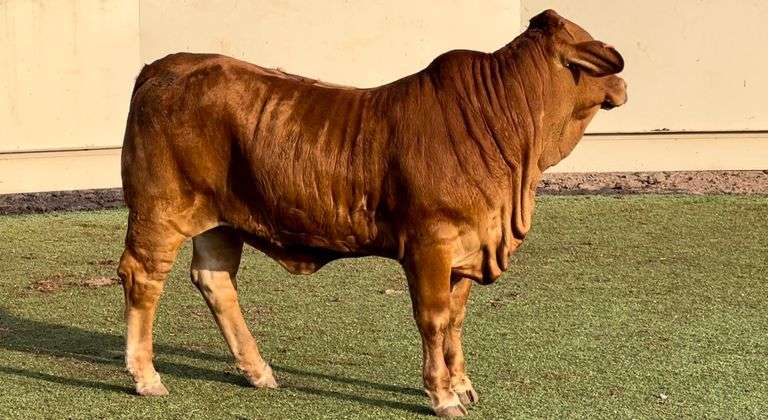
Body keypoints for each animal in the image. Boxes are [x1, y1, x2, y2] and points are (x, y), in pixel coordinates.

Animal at [118, 9, 626, 417]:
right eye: (589, 46)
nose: (622, 82)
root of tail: (163, 66)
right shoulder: (430, 243)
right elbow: (434, 318)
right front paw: (443, 396)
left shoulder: (468, 245)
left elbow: (456, 319)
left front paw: (462, 385)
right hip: (159, 210)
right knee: (142, 276)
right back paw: (146, 376)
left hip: (220, 220)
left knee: (215, 281)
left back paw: (258, 370)